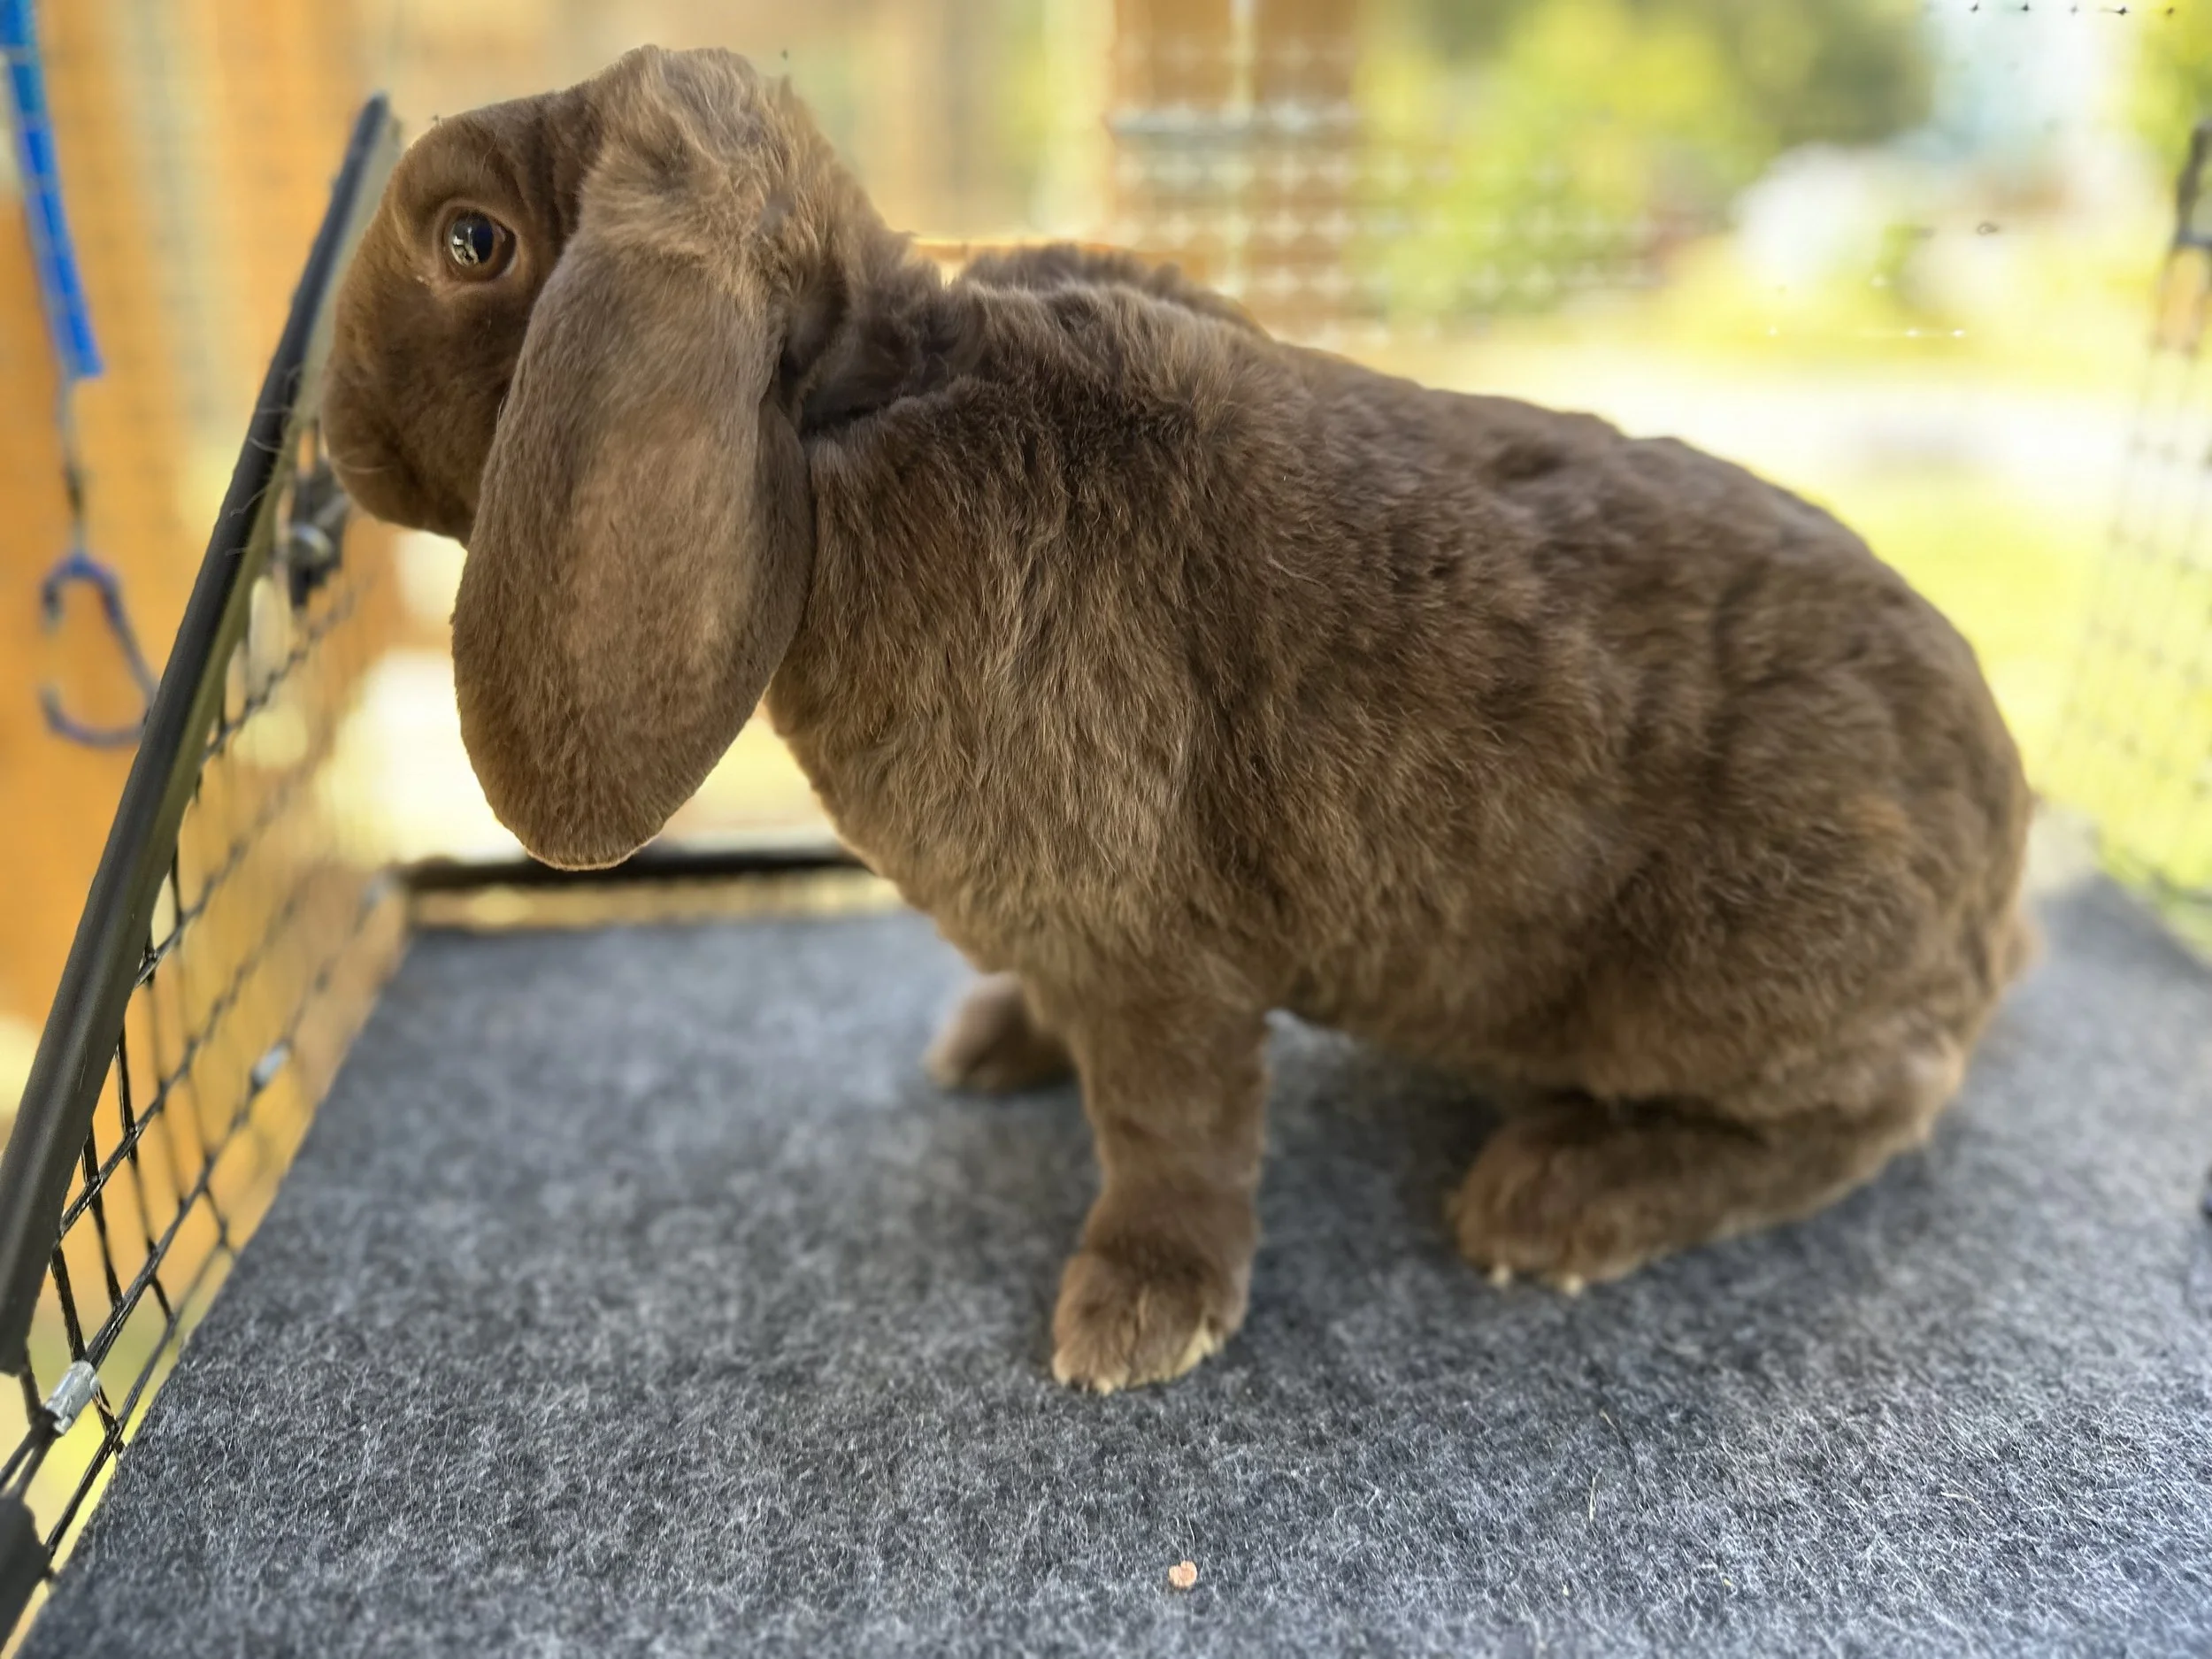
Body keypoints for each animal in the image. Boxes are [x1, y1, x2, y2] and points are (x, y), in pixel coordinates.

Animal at [321, 46, 2034, 1394]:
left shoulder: (1155, 957)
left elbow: (1168, 1130)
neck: (854, 406)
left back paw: (1551, 1198)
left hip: (1729, 983)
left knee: (1883, 1104)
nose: (331, 434)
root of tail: (2003, 880)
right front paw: (996, 1044)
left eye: (472, 241)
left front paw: (1136, 1321)